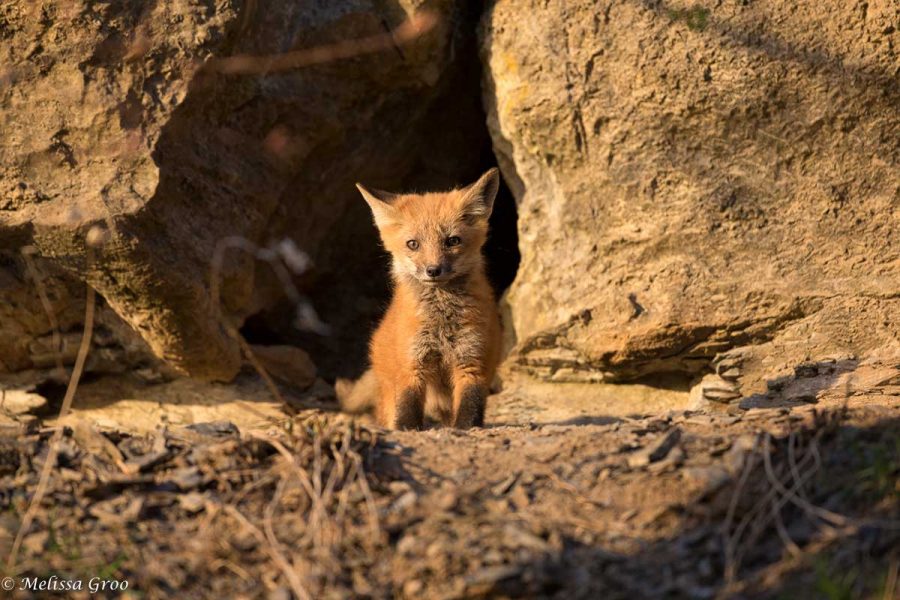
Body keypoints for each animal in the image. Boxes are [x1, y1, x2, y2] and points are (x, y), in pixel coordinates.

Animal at [335, 169, 503, 430]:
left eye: (452, 241)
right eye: (413, 244)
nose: (433, 270)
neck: (441, 321)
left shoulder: (472, 359)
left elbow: (470, 406)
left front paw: (465, 428)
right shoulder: (412, 362)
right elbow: (408, 406)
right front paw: (407, 429)